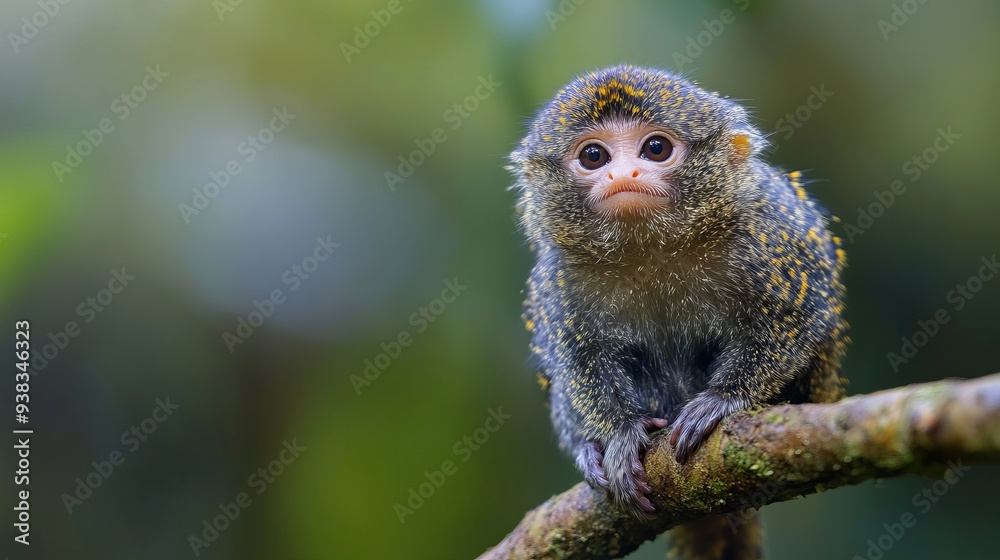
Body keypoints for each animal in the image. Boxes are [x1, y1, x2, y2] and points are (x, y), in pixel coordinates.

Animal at [509, 65, 847, 559]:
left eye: (656, 149)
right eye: (593, 156)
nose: (624, 173)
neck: (651, 248)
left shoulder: (769, 231)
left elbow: (799, 313)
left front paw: (723, 400)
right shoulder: (559, 280)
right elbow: (577, 359)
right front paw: (619, 435)